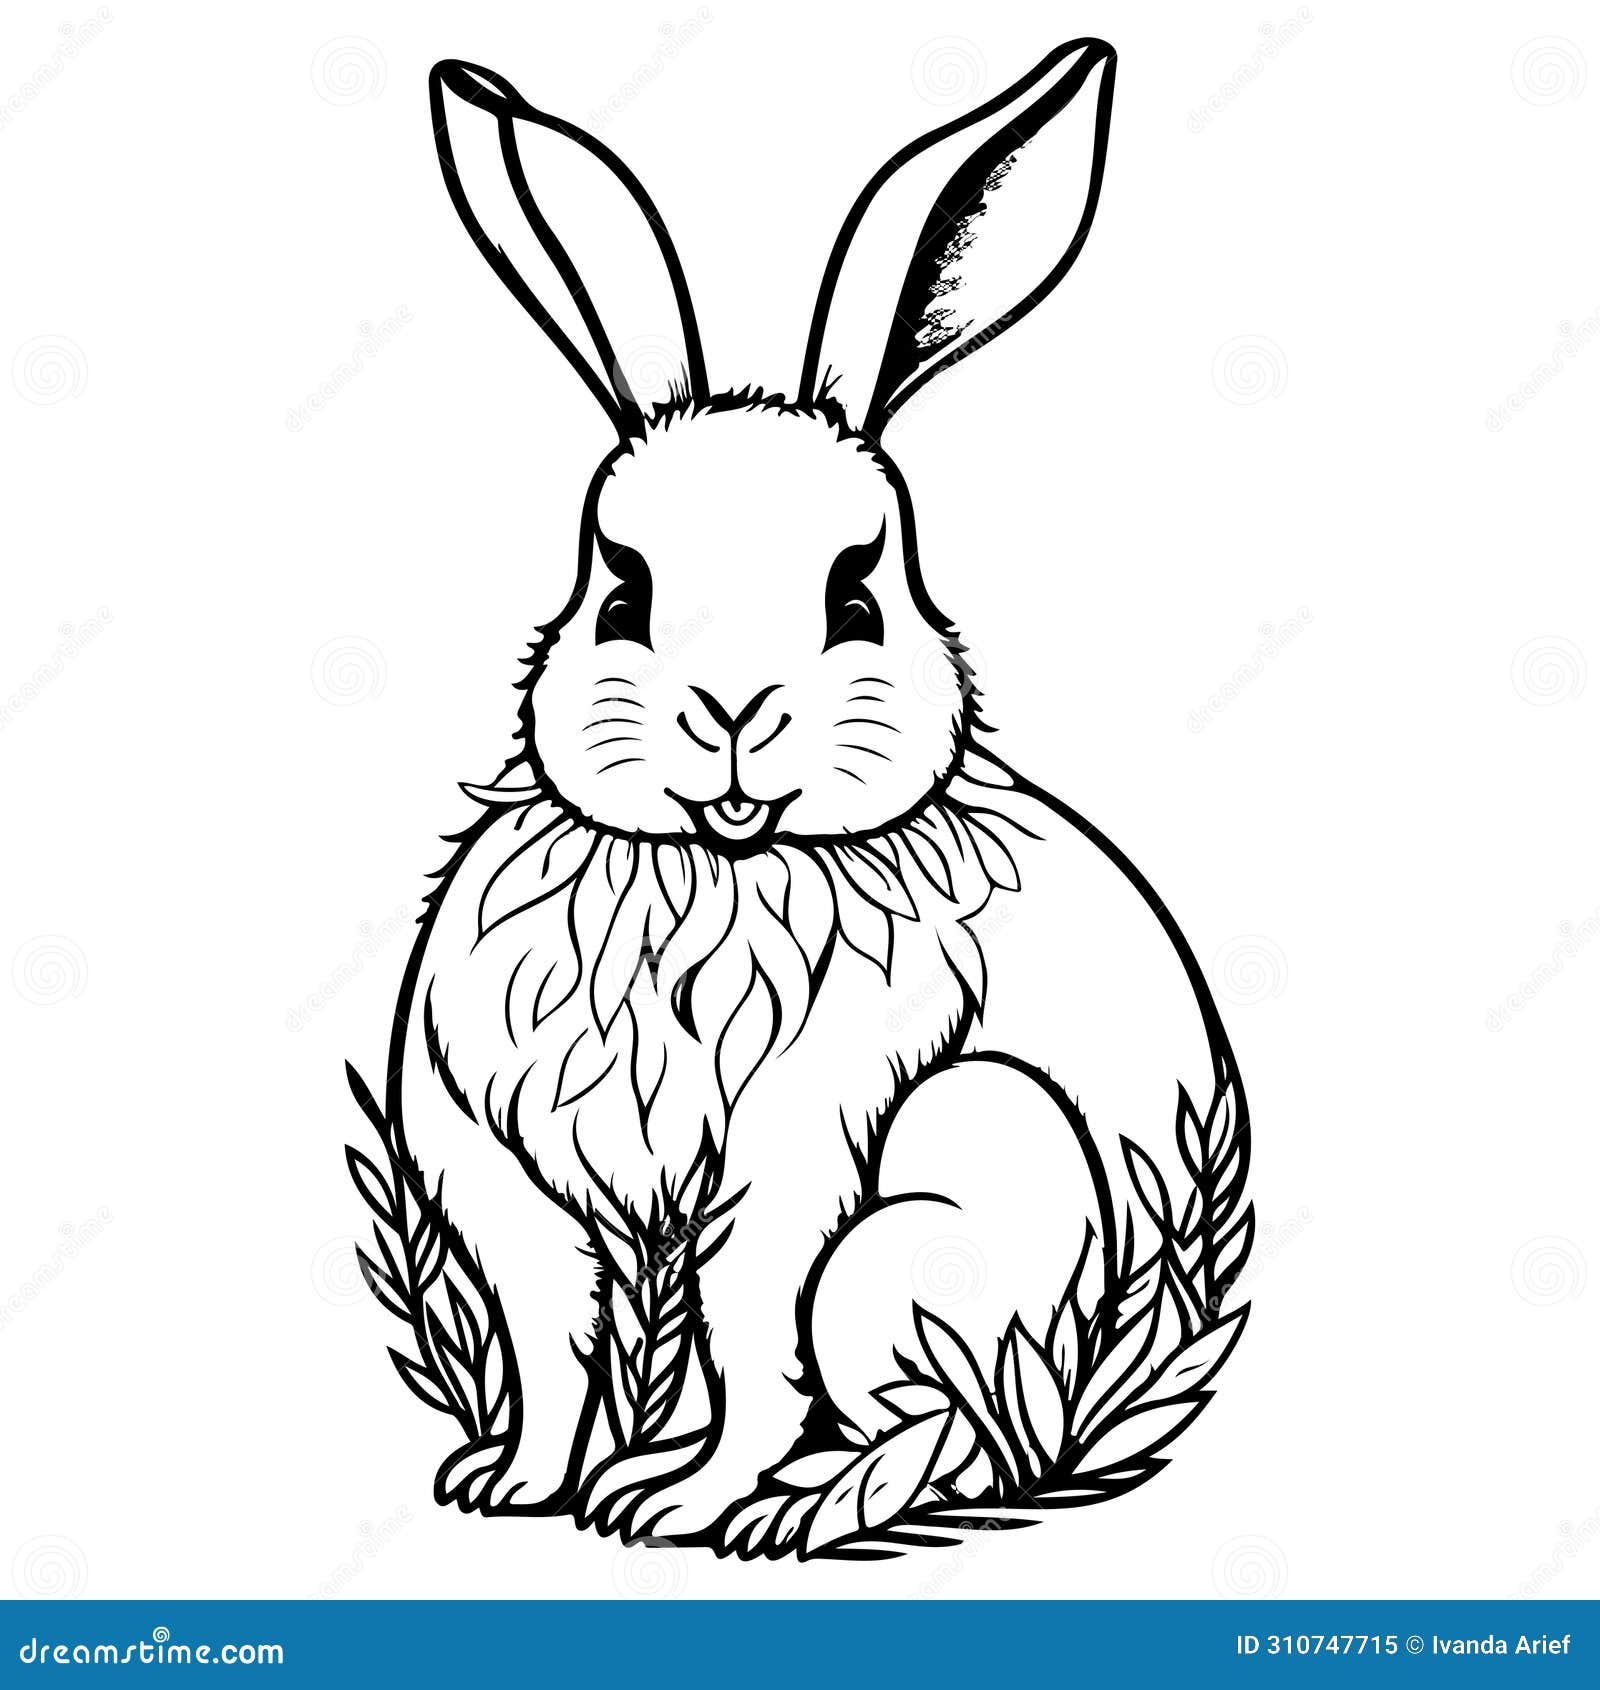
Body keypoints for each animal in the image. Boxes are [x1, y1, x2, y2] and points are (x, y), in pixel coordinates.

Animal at [384, 42, 1244, 1548]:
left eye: (858, 595)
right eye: (620, 592)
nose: (732, 718)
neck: (716, 862)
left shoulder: (794, 1156)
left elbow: (749, 1330)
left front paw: (683, 1501)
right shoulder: (498, 1169)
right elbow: (550, 1333)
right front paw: (514, 1485)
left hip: (949, 1195)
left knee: (959, 1424)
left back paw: (795, 1507)